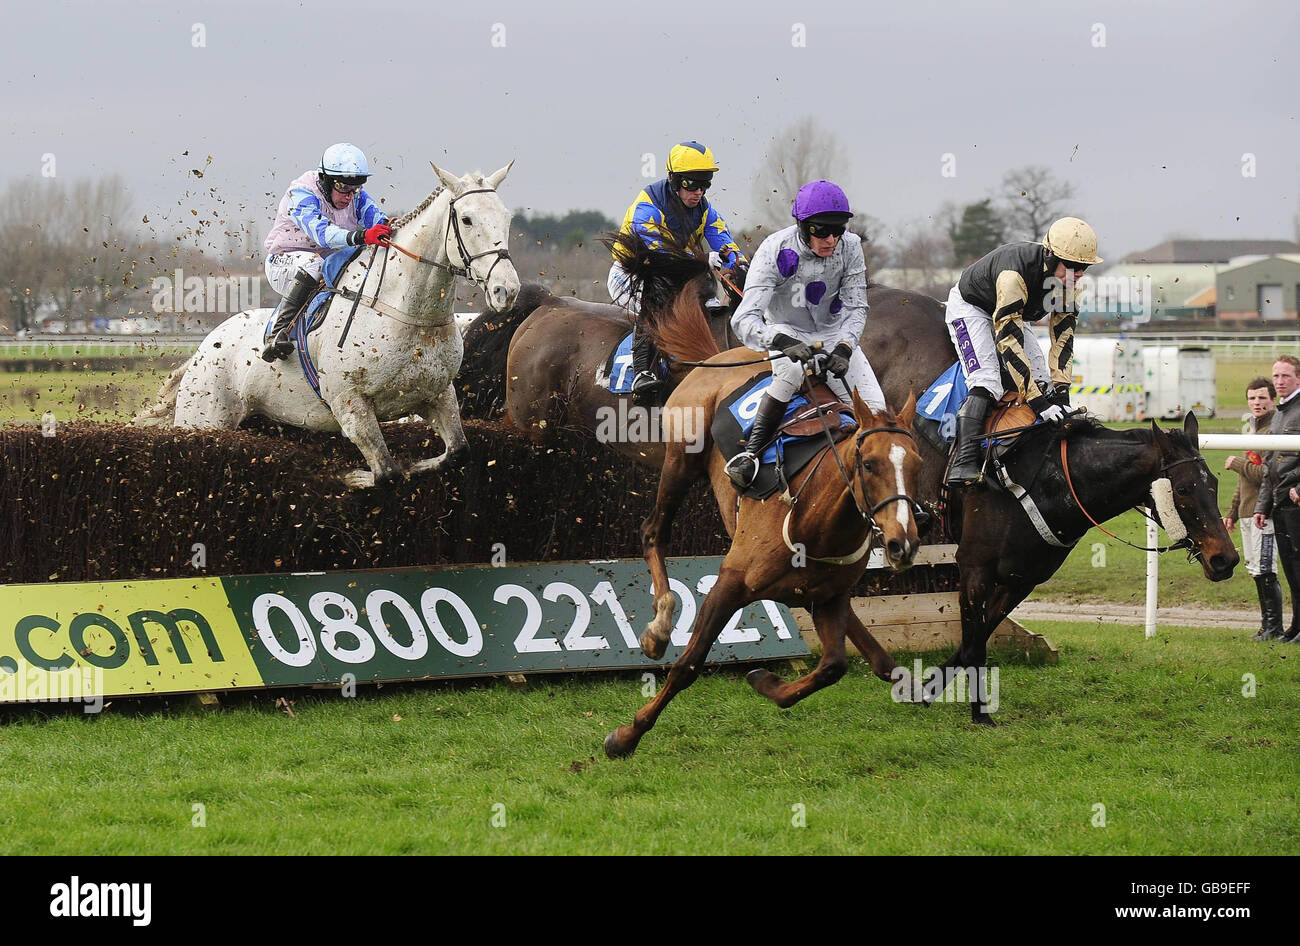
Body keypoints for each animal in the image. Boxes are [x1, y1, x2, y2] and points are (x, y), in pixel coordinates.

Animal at [135, 162, 520, 489]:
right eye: (467, 219)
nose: (507, 289)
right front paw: (356, 476)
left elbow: (457, 452)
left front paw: (416, 465)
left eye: (506, 217)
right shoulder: (350, 403)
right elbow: (387, 473)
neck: (407, 315)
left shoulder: (437, 395)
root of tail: (203, 349)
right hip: (205, 418)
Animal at [602, 286, 924, 758]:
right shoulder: (729, 584)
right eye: (868, 464)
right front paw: (626, 735)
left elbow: (833, 666)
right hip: (680, 459)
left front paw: (767, 682)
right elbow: (688, 665)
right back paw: (658, 628)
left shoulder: (830, 598)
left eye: (917, 466)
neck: (813, 523)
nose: (904, 543)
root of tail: (718, 356)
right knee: (652, 532)